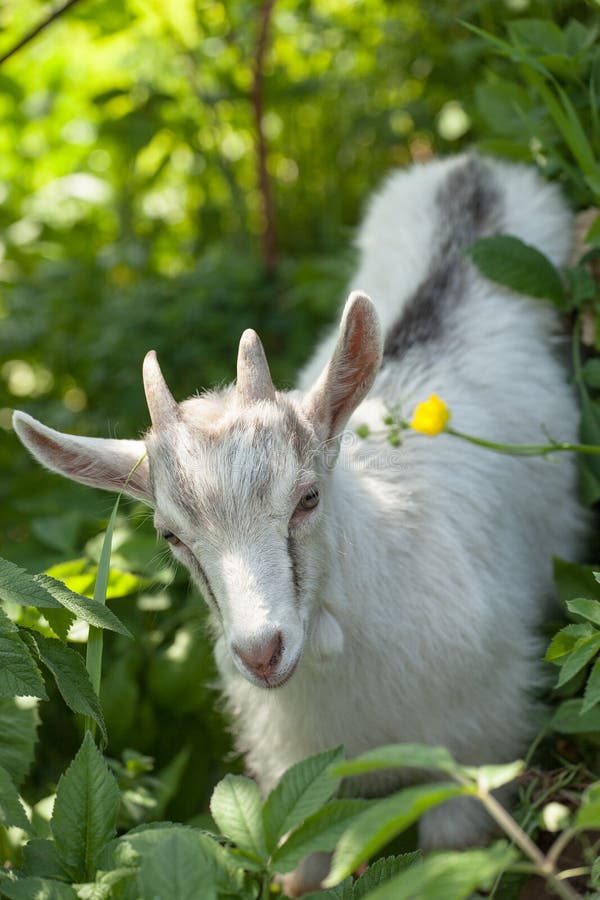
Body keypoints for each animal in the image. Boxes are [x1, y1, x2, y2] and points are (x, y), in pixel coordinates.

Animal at [13, 154, 587, 896]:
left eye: (307, 498)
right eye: (172, 536)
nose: (260, 651)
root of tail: (471, 170)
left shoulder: (474, 760)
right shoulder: (295, 784)